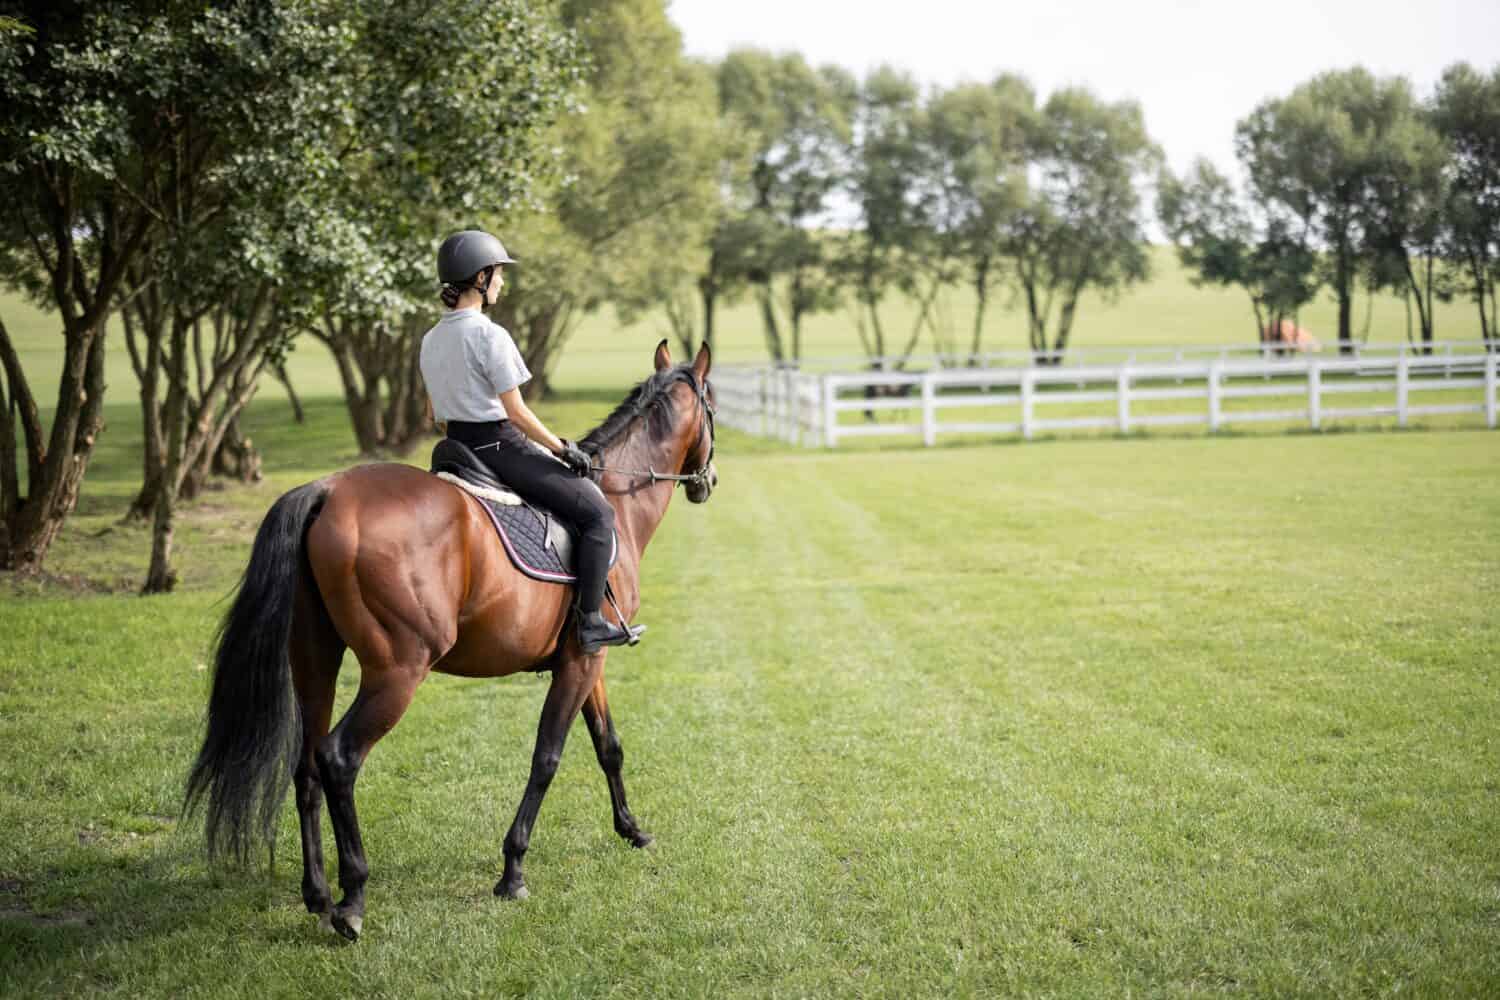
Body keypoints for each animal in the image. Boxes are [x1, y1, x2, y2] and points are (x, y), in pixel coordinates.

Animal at [185, 340, 717, 941]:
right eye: (712, 407)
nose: (707, 482)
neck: (616, 501)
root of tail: (326, 491)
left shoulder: (588, 657)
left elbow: (609, 746)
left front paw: (632, 829)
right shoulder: (582, 661)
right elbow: (547, 757)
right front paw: (512, 870)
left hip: (314, 661)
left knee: (306, 765)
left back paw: (318, 894)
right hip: (398, 671)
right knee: (339, 758)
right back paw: (353, 899)